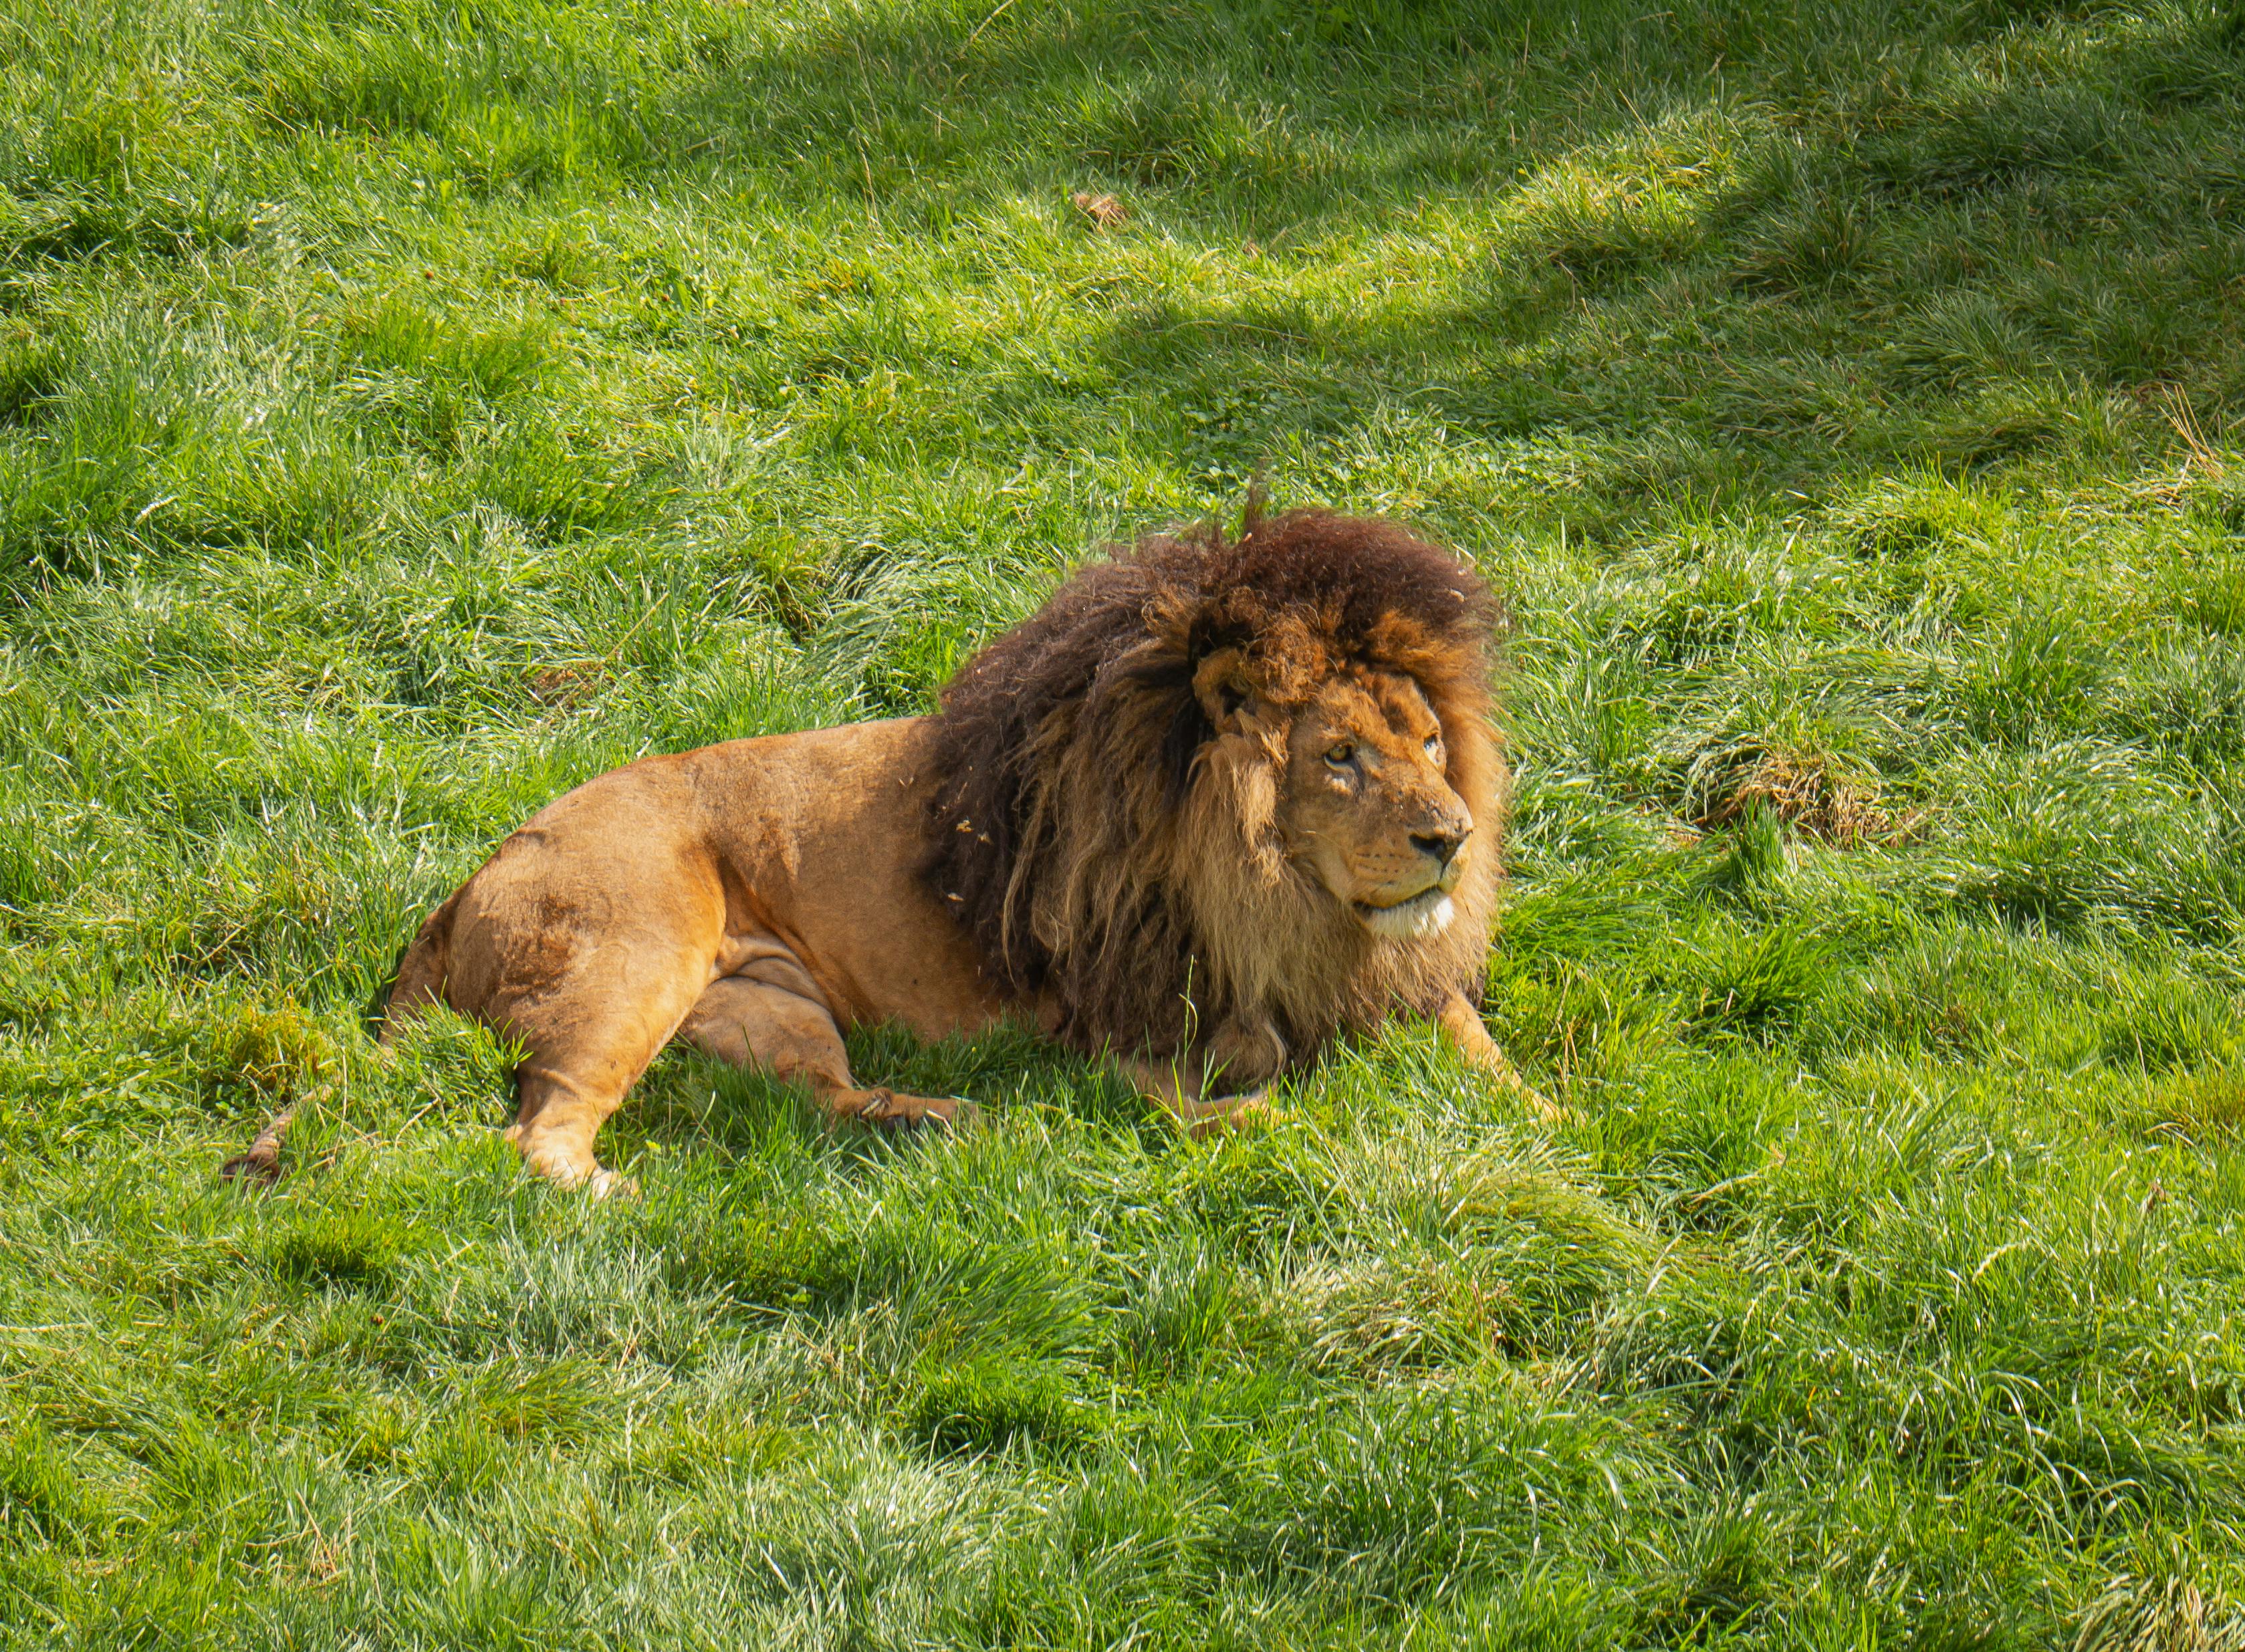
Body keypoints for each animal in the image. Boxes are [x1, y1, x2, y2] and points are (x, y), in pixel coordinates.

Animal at [229, 508, 1549, 1194]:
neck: (1286, 900)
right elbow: (1225, 1104)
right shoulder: (1120, 1027)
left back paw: (956, 1121)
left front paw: (1546, 1119)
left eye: (1433, 740)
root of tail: (468, 881)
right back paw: (622, 1189)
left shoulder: (1386, 976)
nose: (1450, 837)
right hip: (630, 961)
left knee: (830, 1098)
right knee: (537, 1135)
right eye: (1340, 758)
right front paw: (1289, 1121)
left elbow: (1484, 1055)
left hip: (772, 1006)